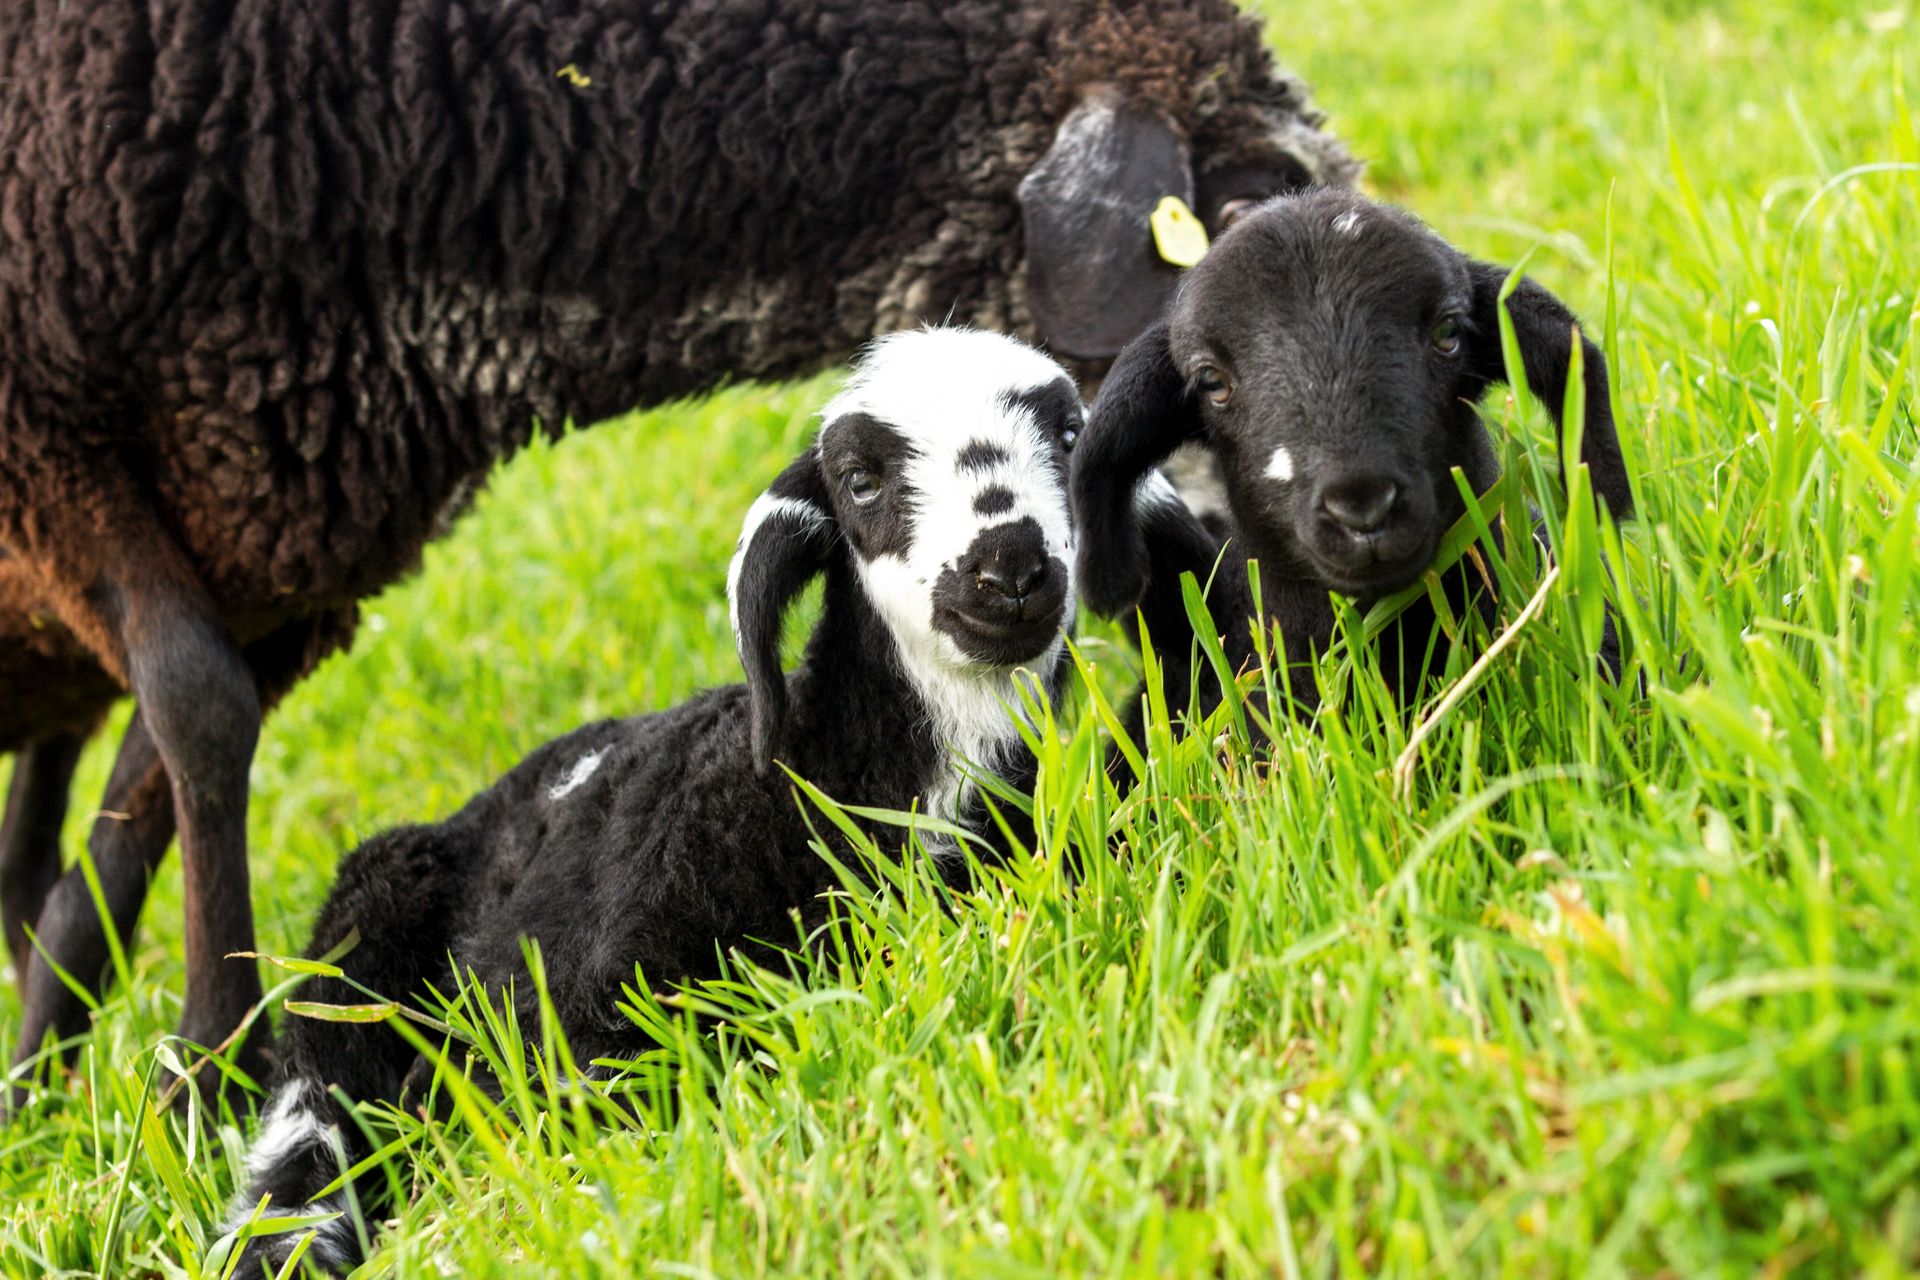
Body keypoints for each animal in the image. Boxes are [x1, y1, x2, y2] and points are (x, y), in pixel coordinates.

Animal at [0, 0, 1356, 1094]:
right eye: (1235, 210)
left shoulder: (282, 565)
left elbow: (136, 812)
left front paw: (89, 1073)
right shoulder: (50, 444)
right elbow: (199, 716)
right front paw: (204, 1063)